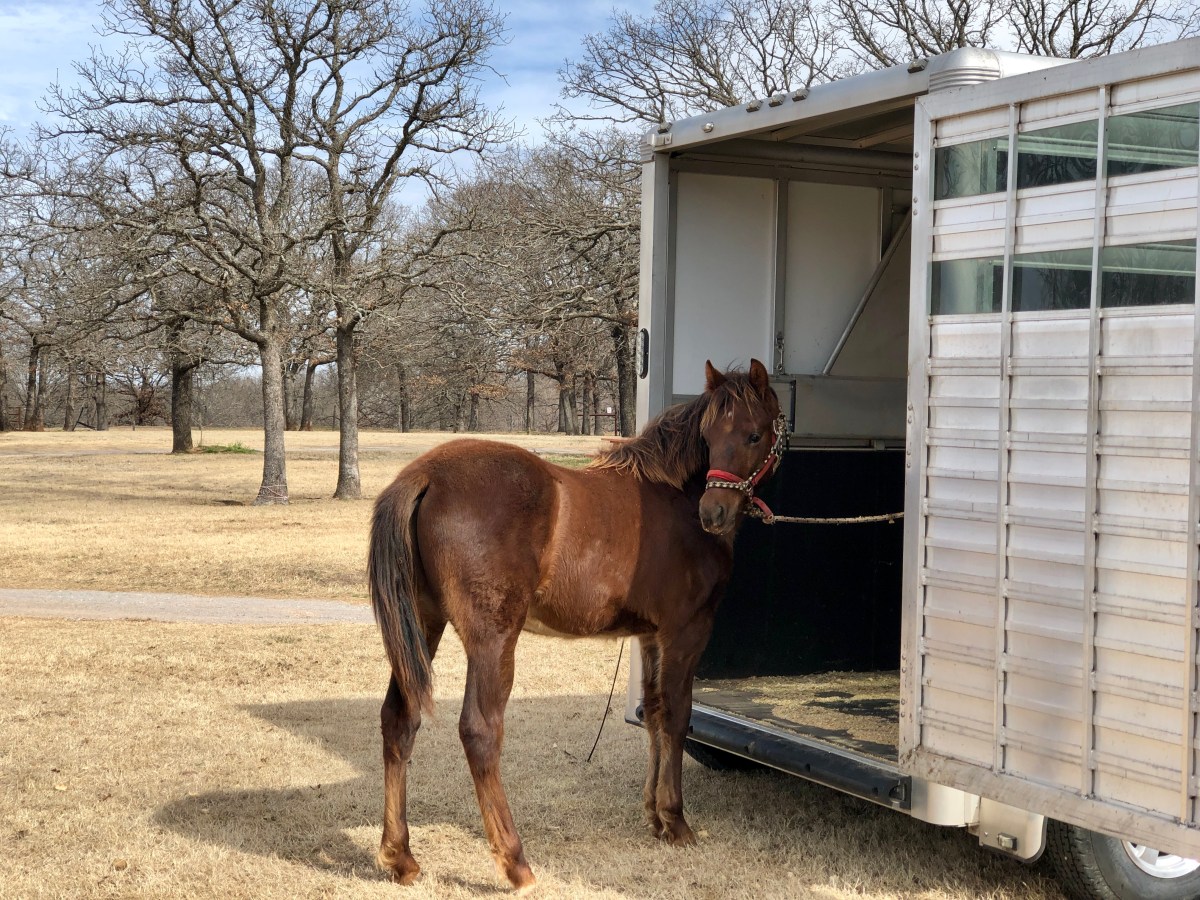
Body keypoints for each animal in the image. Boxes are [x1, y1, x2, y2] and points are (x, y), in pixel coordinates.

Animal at [367, 358, 785, 892]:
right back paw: (516, 863)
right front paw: (675, 821)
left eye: (752, 434)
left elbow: (653, 712)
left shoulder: (649, 636)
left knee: (399, 720)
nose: (713, 513)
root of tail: (426, 474)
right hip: (492, 640)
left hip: (423, 625)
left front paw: (653, 816)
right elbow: (677, 715)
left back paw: (400, 856)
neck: (673, 498)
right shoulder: (685, 630)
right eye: (711, 436)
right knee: (480, 731)